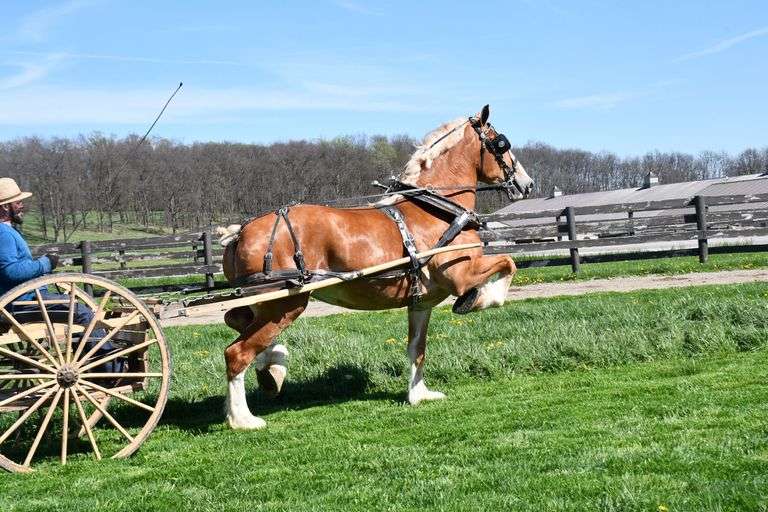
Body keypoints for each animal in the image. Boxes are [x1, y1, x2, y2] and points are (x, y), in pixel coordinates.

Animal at [218, 105, 534, 429]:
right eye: (501, 143)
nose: (527, 183)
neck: (437, 210)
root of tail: (239, 233)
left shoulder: (421, 302)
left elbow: (417, 349)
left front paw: (419, 394)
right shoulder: (461, 274)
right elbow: (508, 264)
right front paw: (480, 299)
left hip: (262, 302)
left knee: (236, 321)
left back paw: (272, 369)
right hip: (284, 304)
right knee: (237, 353)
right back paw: (242, 418)